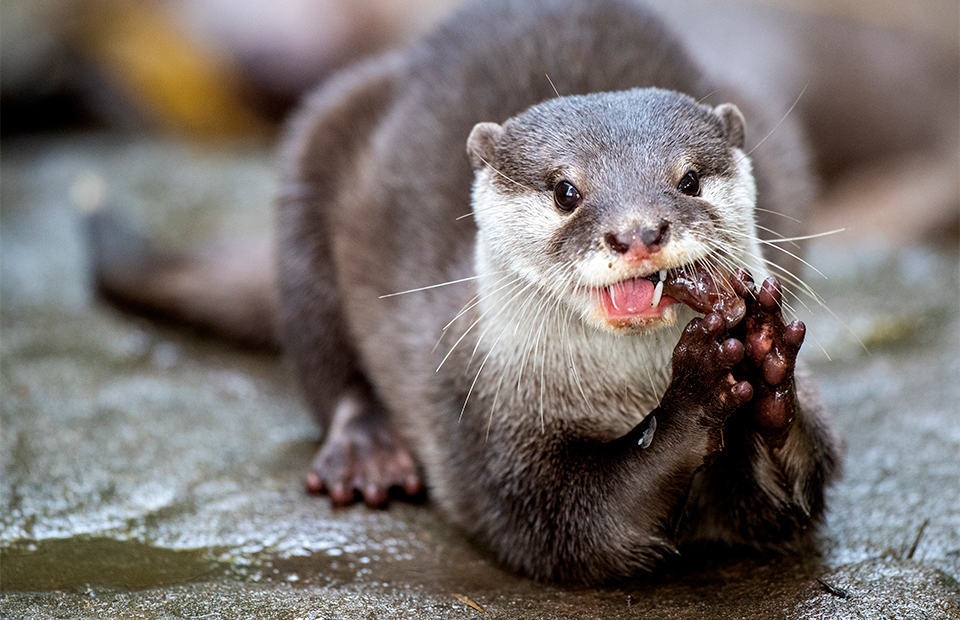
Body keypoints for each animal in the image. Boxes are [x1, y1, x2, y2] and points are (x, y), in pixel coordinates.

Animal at [91, 0, 841, 583]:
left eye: (688, 179)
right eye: (565, 191)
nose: (638, 232)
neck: (617, 396)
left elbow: (786, 501)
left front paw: (768, 363)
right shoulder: (482, 425)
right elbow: (571, 524)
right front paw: (697, 390)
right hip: (312, 157)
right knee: (322, 357)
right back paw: (366, 450)